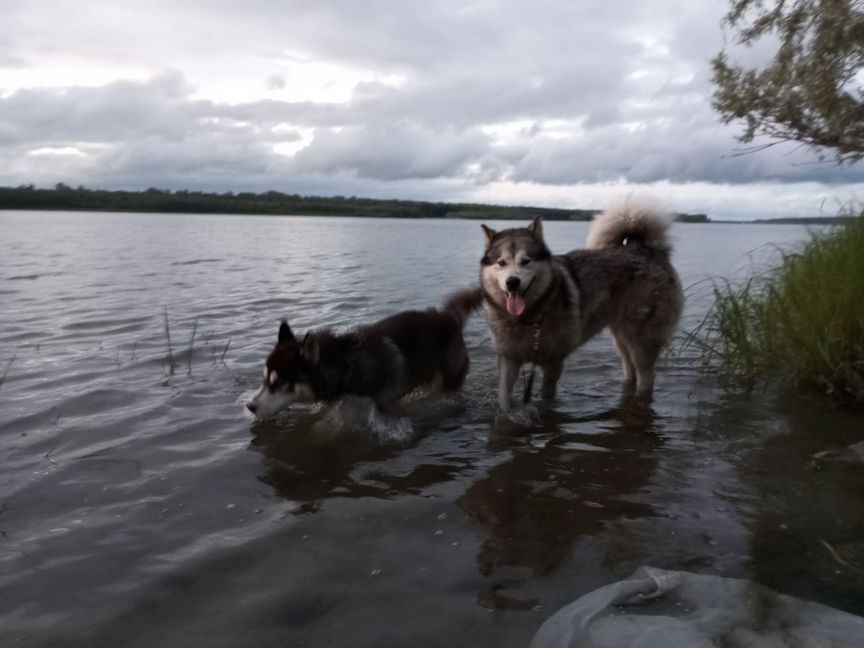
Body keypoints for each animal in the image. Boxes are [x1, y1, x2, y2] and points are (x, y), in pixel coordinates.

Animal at [480, 200, 680, 408]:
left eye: (525, 261)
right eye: (501, 262)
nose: (512, 282)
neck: (526, 319)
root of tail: (644, 250)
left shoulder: (553, 362)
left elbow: (547, 397)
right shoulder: (508, 359)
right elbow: (503, 397)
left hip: (642, 340)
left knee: (645, 376)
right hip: (622, 339)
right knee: (630, 369)